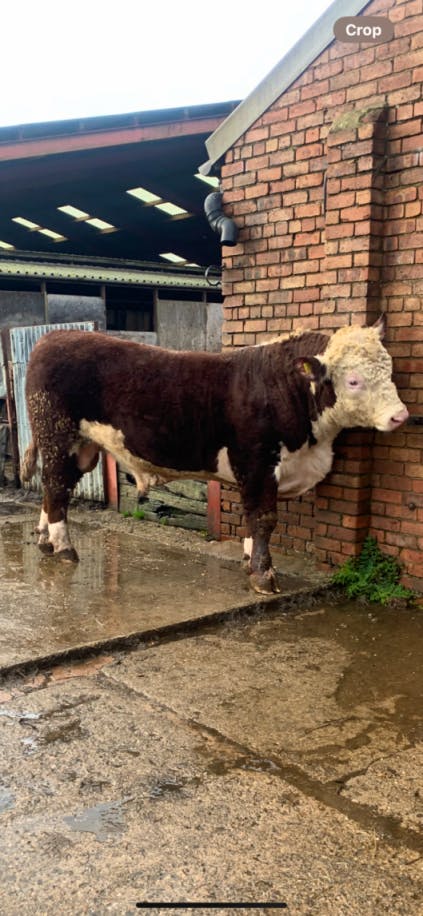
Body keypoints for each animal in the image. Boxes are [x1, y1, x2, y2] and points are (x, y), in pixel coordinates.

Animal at [22, 316, 408, 594]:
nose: (400, 416)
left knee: (55, 489)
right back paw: (65, 549)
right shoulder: (257, 462)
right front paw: (263, 577)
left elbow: (251, 519)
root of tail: (52, 336)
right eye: (353, 381)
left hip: (80, 448)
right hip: (59, 436)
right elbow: (263, 518)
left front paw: (250, 561)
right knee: (56, 488)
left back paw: (44, 542)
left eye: (390, 370)